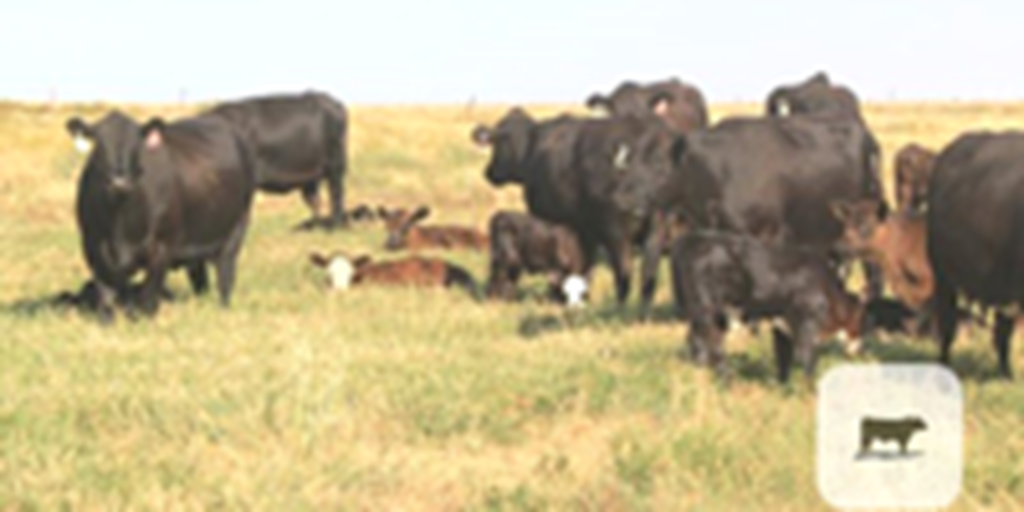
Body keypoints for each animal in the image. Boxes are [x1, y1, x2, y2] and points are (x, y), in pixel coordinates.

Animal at [66, 110, 255, 321]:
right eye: (99, 144)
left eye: (136, 146)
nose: (119, 180)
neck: (120, 226)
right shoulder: (93, 246)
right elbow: (105, 295)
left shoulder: (162, 247)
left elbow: (147, 299)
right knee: (199, 277)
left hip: (237, 227)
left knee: (225, 275)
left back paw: (222, 308)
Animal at [199, 91, 348, 229]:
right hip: (311, 175)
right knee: (315, 200)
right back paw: (316, 226)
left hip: (335, 165)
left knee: (336, 195)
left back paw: (335, 226)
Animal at [472, 109, 676, 316]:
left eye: (498, 144)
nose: (489, 172)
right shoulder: (586, 231)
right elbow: (586, 266)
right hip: (656, 230)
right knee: (648, 273)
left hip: (618, 234)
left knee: (624, 272)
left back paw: (618, 307)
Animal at [670, 231, 864, 385]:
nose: (858, 349)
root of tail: (694, 238)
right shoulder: (807, 324)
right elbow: (807, 357)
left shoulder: (782, 327)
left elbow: (783, 357)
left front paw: (783, 387)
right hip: (709, 311)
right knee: (711, 346)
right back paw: (726, 383)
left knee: (696, 343)